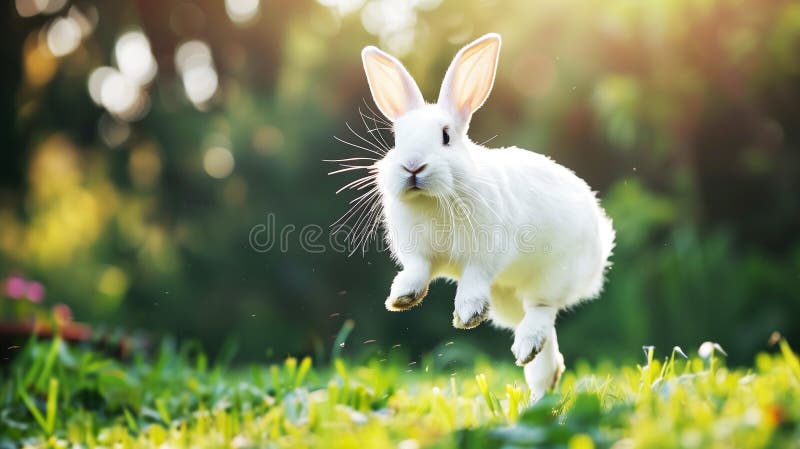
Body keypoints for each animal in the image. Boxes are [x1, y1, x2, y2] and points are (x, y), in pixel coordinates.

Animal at [351, 33, 615, 401]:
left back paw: (527, 348)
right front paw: (401, 297)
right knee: (543, 340)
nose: (413, 166)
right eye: (397, 139)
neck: (437, 198)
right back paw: (541, 378)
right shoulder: (418, 254)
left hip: (554, 275)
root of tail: (601, 241)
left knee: (543, 309)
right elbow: (417, 271)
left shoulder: (486, 254)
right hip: (508, 300)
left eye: (446, 136)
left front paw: (467, 314)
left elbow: (474, 279)